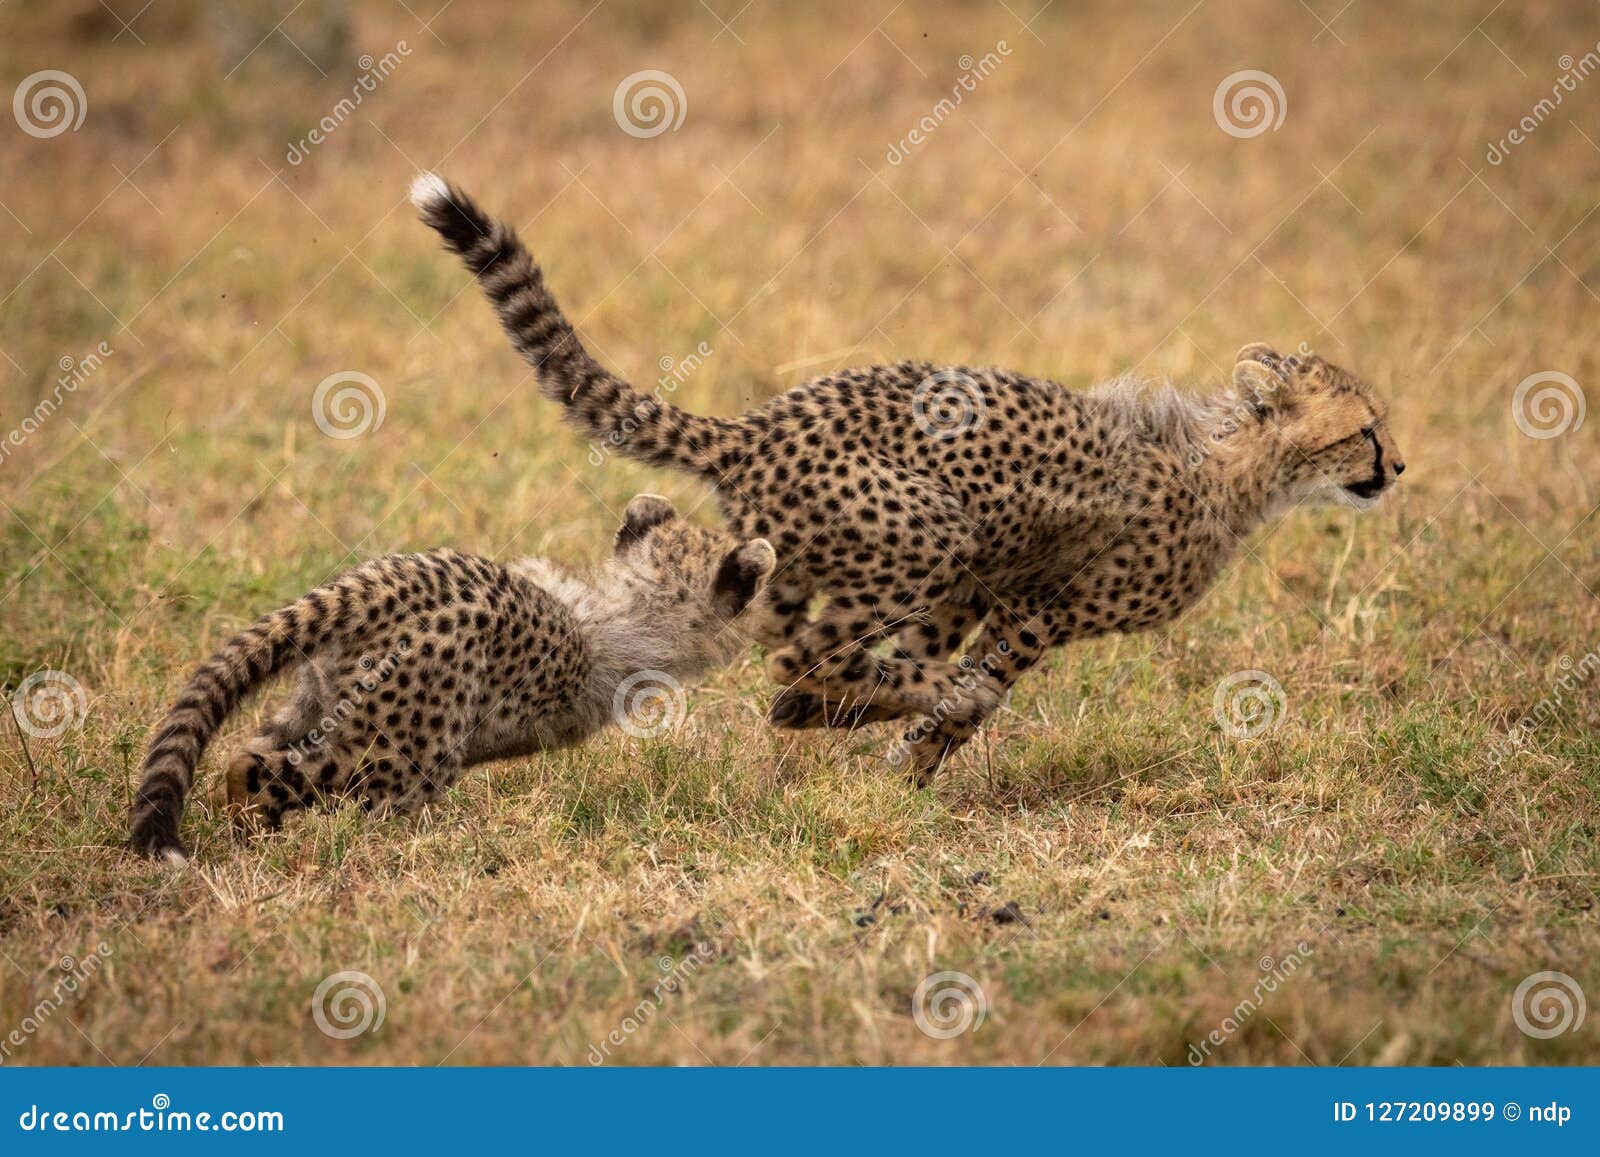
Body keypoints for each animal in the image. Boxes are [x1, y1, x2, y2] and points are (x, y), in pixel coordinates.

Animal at [130, 495, 776, 862]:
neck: (636, 601)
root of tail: (378, 581)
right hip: (405, 752)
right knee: (265, 767)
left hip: (321, 700)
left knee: (263, 743)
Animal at [411, 172, 1405, 785]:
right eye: (1365, 427)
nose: (1398, 465)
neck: (1232, 466)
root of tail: (756, 425)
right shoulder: (1035, 603)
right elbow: (980, 689)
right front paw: (918, 754)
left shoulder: (975, 591)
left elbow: (914, 668)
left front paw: (872, 734)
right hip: (928, 530)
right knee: (806, 653)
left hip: (827, 558)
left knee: (798, 649)